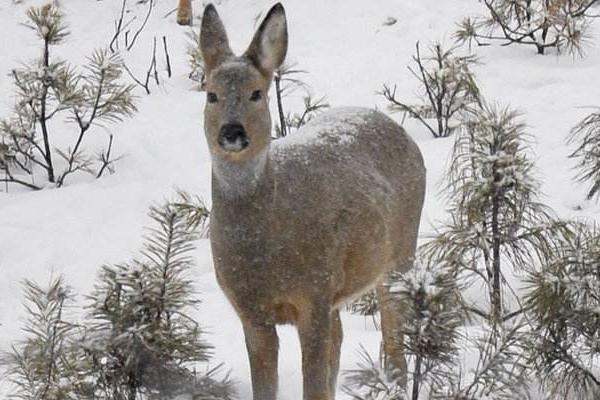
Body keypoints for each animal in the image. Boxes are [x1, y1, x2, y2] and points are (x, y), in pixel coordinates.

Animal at [202, 3, 426, 400]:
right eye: (211, 94)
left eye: (256, 93)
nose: (231, 132)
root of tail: (396, 126)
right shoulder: (251, 311)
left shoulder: (314, 293)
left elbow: (314, 383)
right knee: (343, 335)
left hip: (400, 248)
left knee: (391, 326)